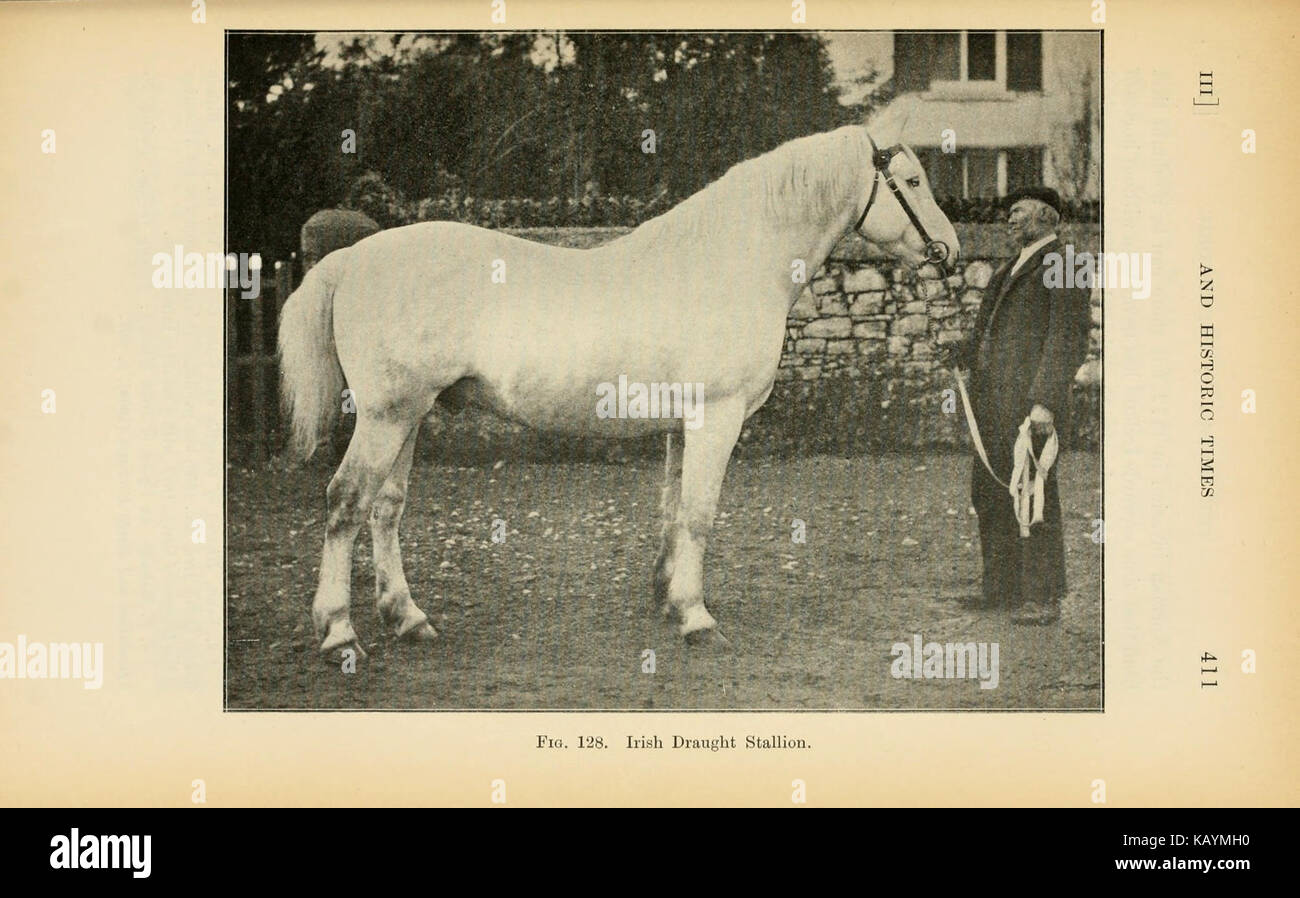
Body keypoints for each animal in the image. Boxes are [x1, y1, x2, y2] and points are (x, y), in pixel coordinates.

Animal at [277, 123, 959, 659]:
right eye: (914, 180)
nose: (950, 251)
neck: (728, 263)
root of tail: (353, 258)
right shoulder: (718, 417)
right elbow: (700, 513)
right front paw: (698, 619)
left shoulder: (686, 423)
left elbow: (674, 509)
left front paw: (669, 597)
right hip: (387, 416)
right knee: (345, 502)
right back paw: (338, 633)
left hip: (408, 416)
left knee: (385, 508)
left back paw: (407, 618)